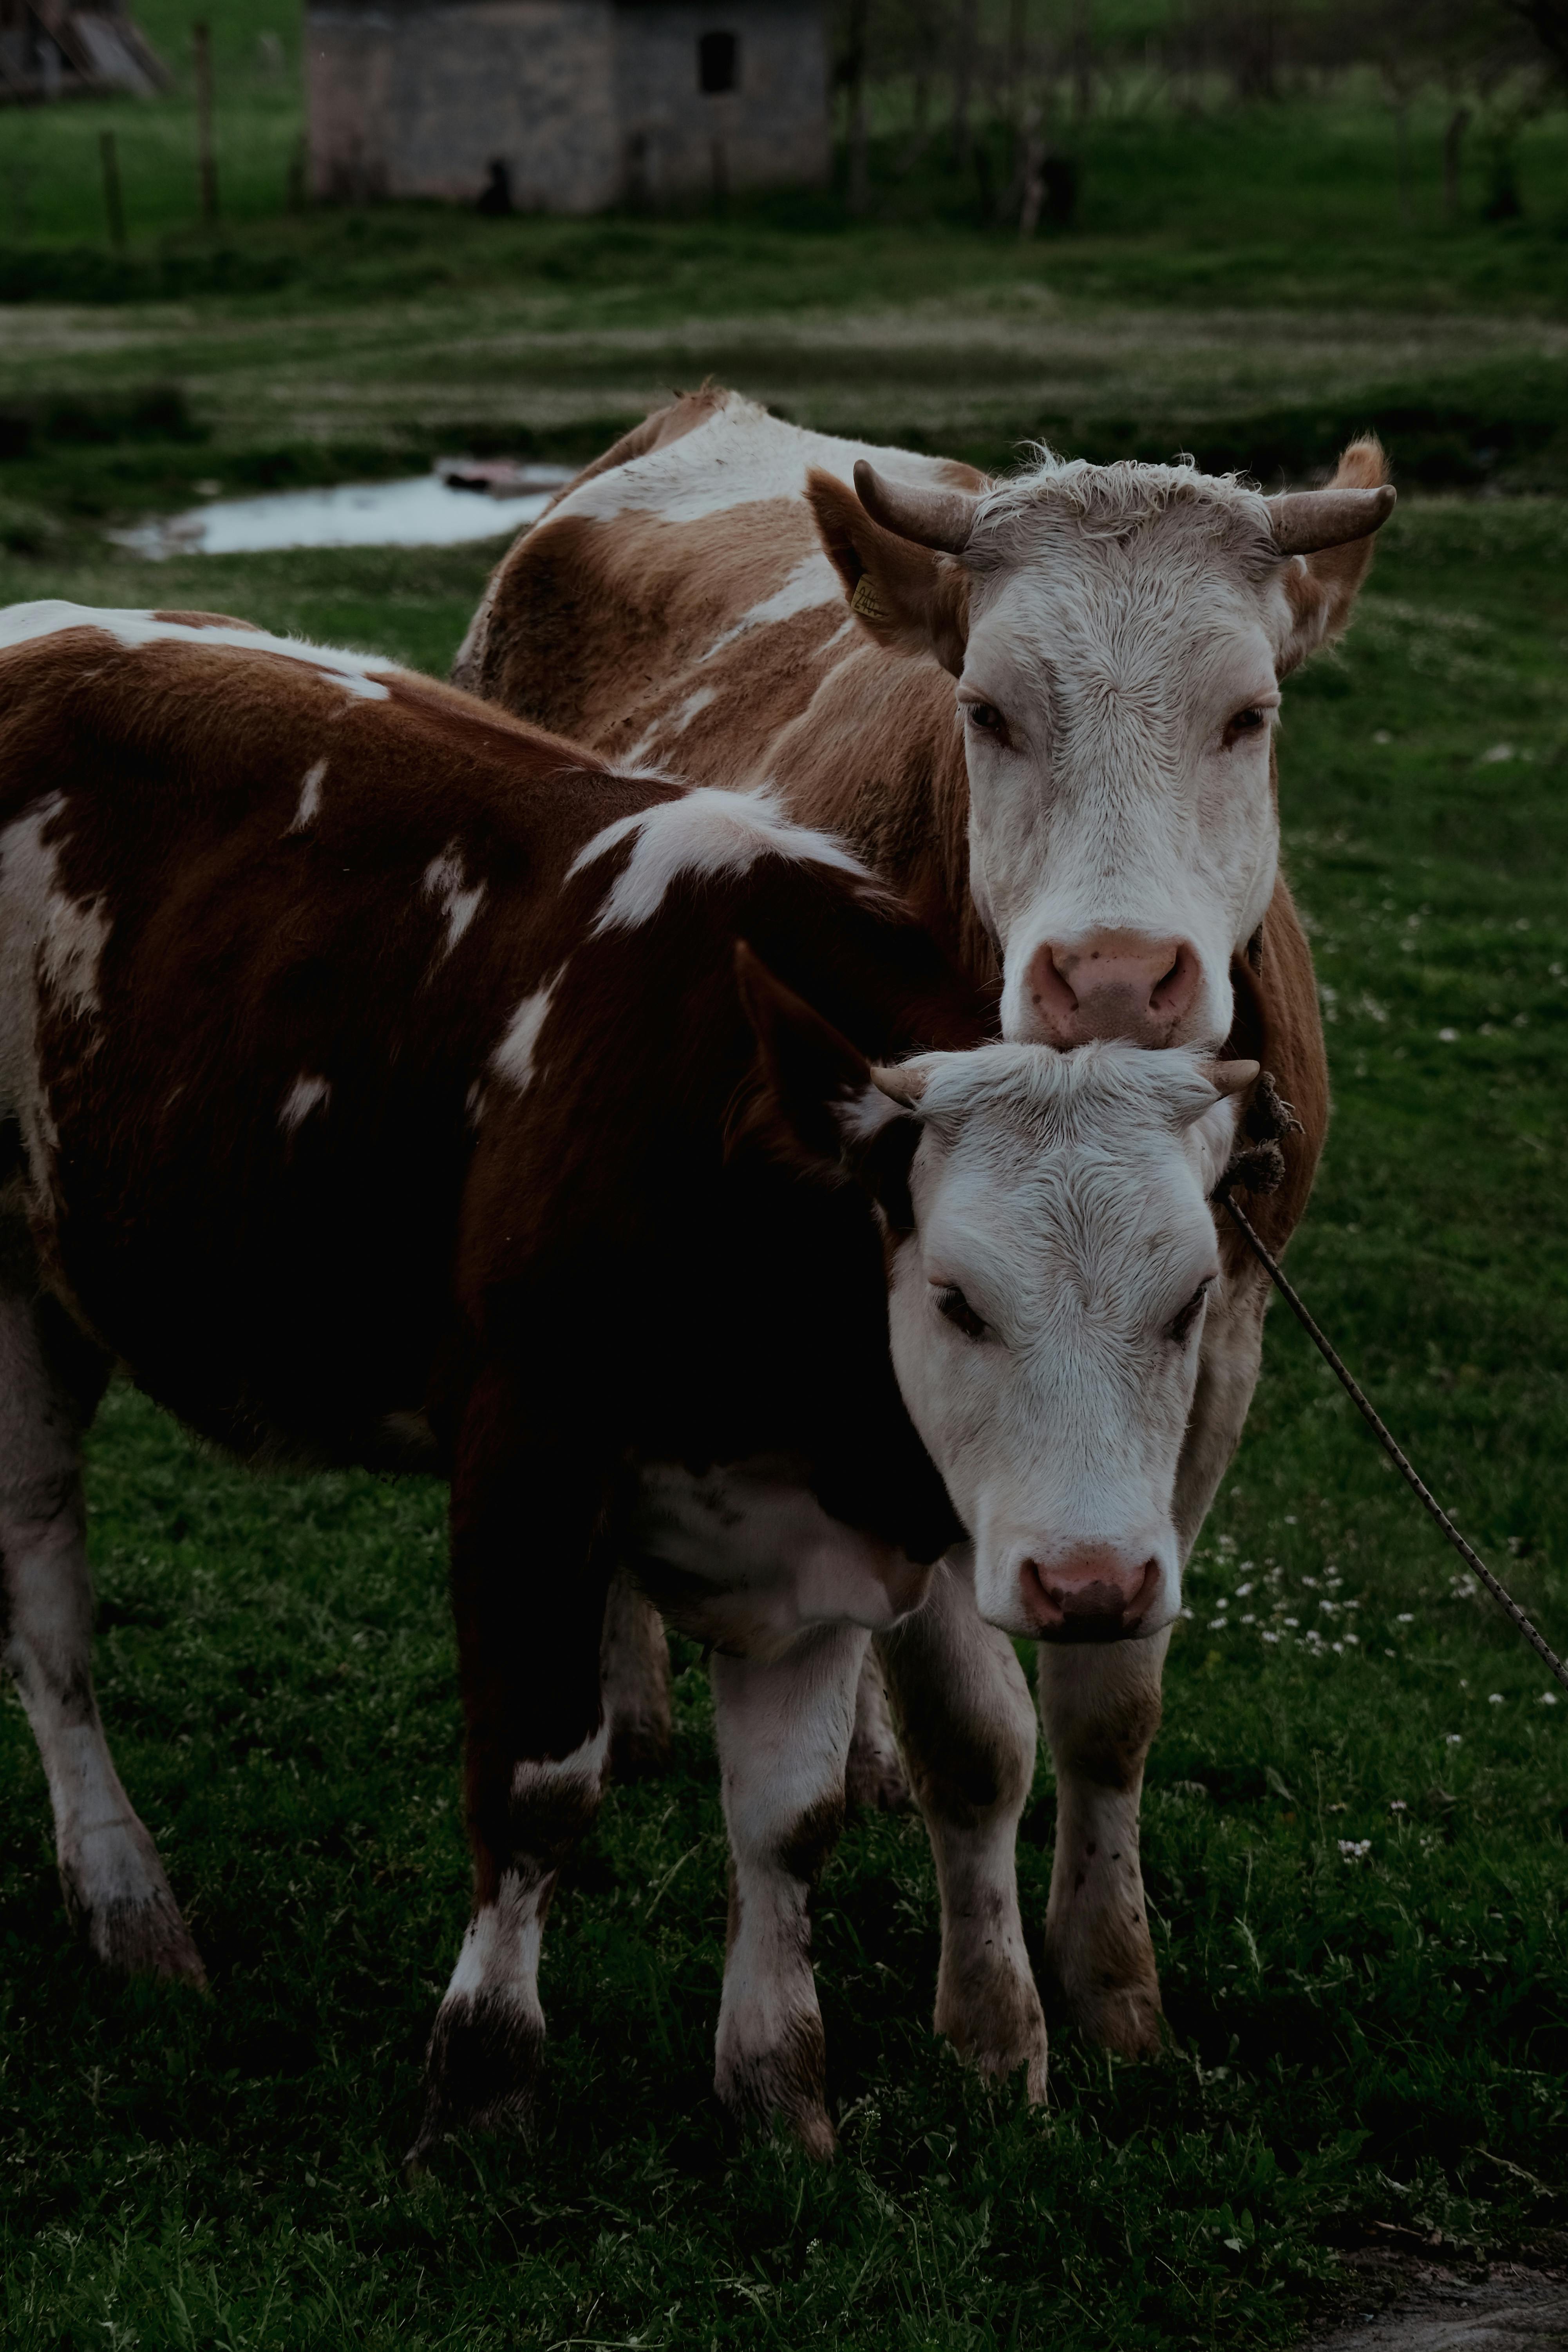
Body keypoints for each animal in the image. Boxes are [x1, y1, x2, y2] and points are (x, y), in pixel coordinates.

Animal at [0, 602, 1256, 2157]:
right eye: (955, 1299)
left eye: (1187, 1298)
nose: (1092, 1588)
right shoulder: (525, 1456)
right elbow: (537, 1782)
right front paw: (481, 2075)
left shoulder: (819, 1528)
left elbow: (786, 1816)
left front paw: (778, 2090)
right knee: (48, 1611)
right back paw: (128, 1902)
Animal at [453, 389, 1395, 2059]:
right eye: (985, 708)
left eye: (1250, 712)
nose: (1113, 976)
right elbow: (977, 1732)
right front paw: (991, 2020)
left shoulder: (1219, 1344)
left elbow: (1108, 1704)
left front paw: (1112, 1984)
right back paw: (634, 1703)